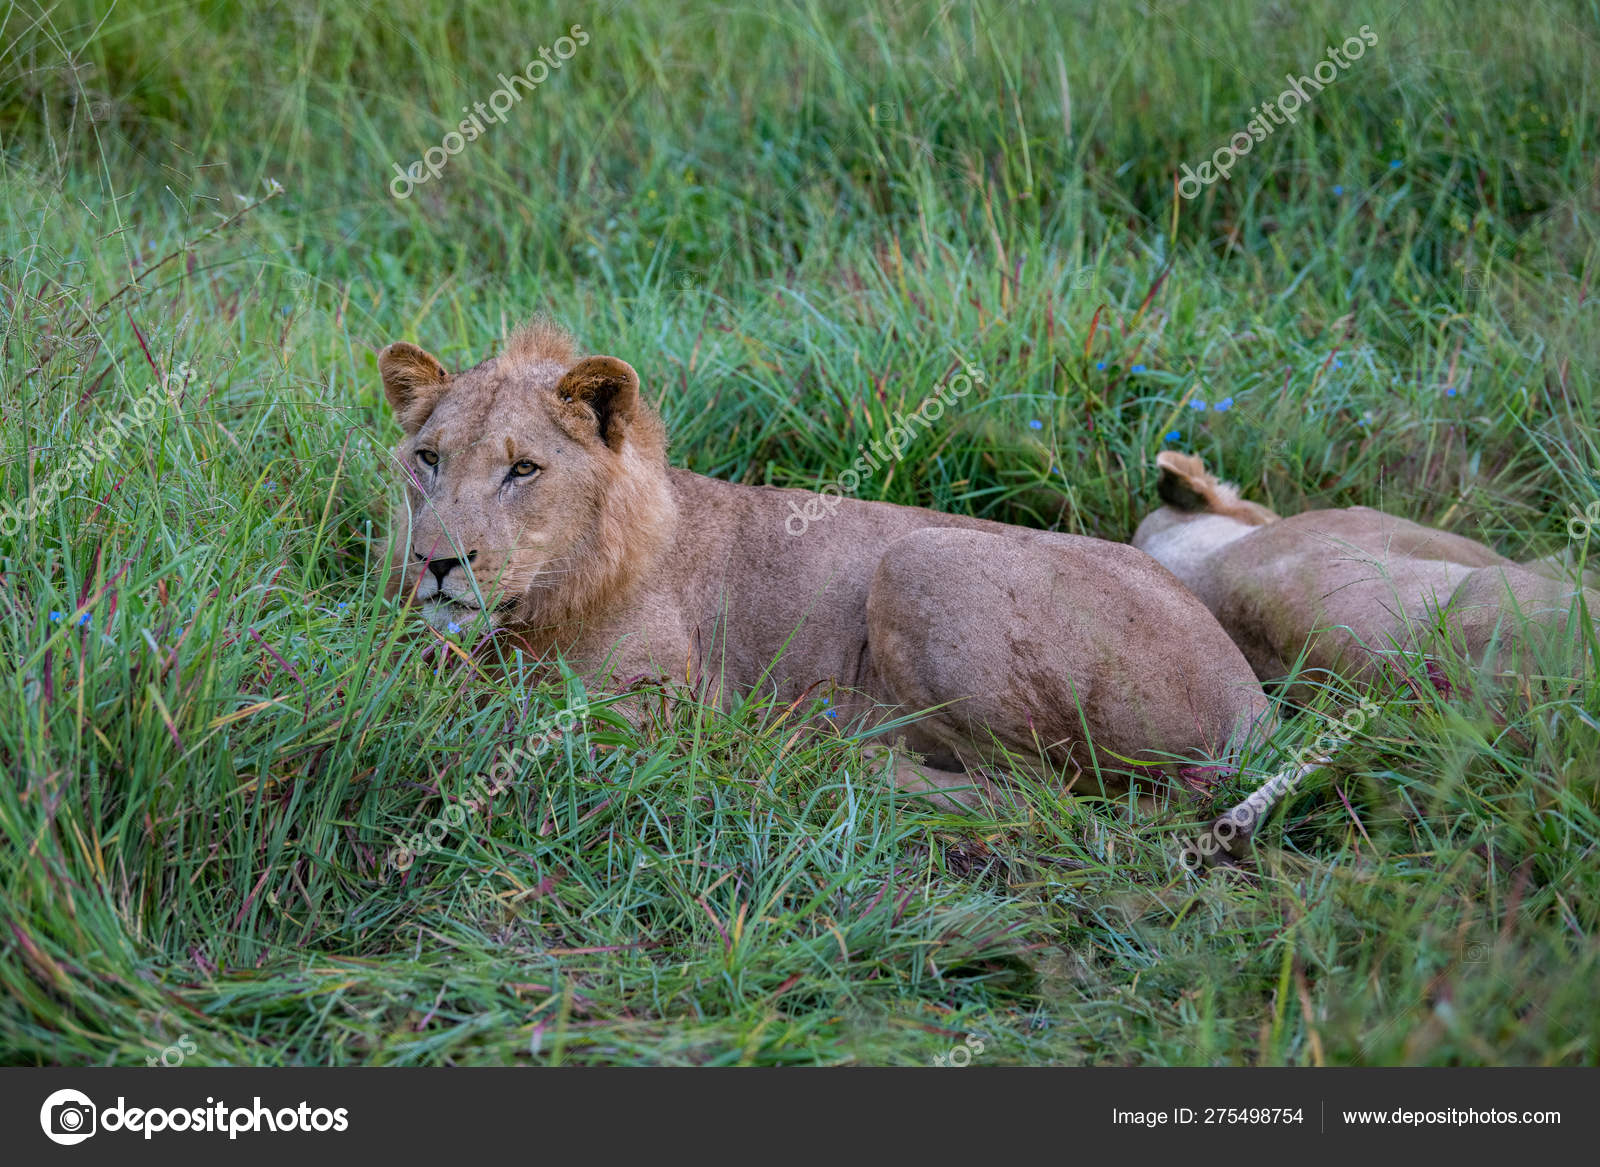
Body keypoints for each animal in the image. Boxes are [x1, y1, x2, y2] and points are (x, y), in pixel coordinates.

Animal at [378, 318, 1272, 806]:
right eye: (428, 458)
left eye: (523, 469)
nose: (438, 563)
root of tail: (1253, 701)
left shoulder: (666, 702)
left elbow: (517, 712)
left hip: (919, 557)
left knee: (1038, 793)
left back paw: (825, 752)